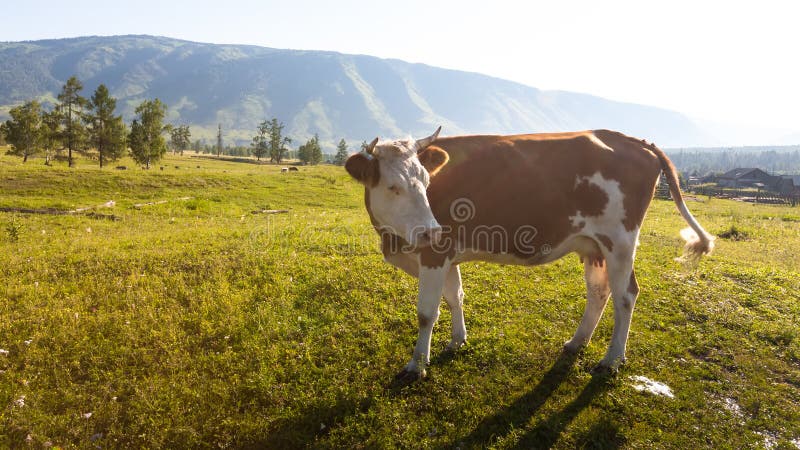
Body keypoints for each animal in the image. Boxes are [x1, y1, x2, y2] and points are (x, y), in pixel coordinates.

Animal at [345, 127, 714, 382]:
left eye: (425, 180)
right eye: (392, 186)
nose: (430, 230)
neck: (394, 240)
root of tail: (633, 140)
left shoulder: (435, 252)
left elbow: (426, 313)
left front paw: (417, 365)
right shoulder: (446, 253)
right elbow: (455, 297)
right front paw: (457, 340)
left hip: (620, 242)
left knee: (626, 296)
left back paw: (611, 361)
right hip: (595, 245)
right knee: (599, 291)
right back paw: (577, 342)